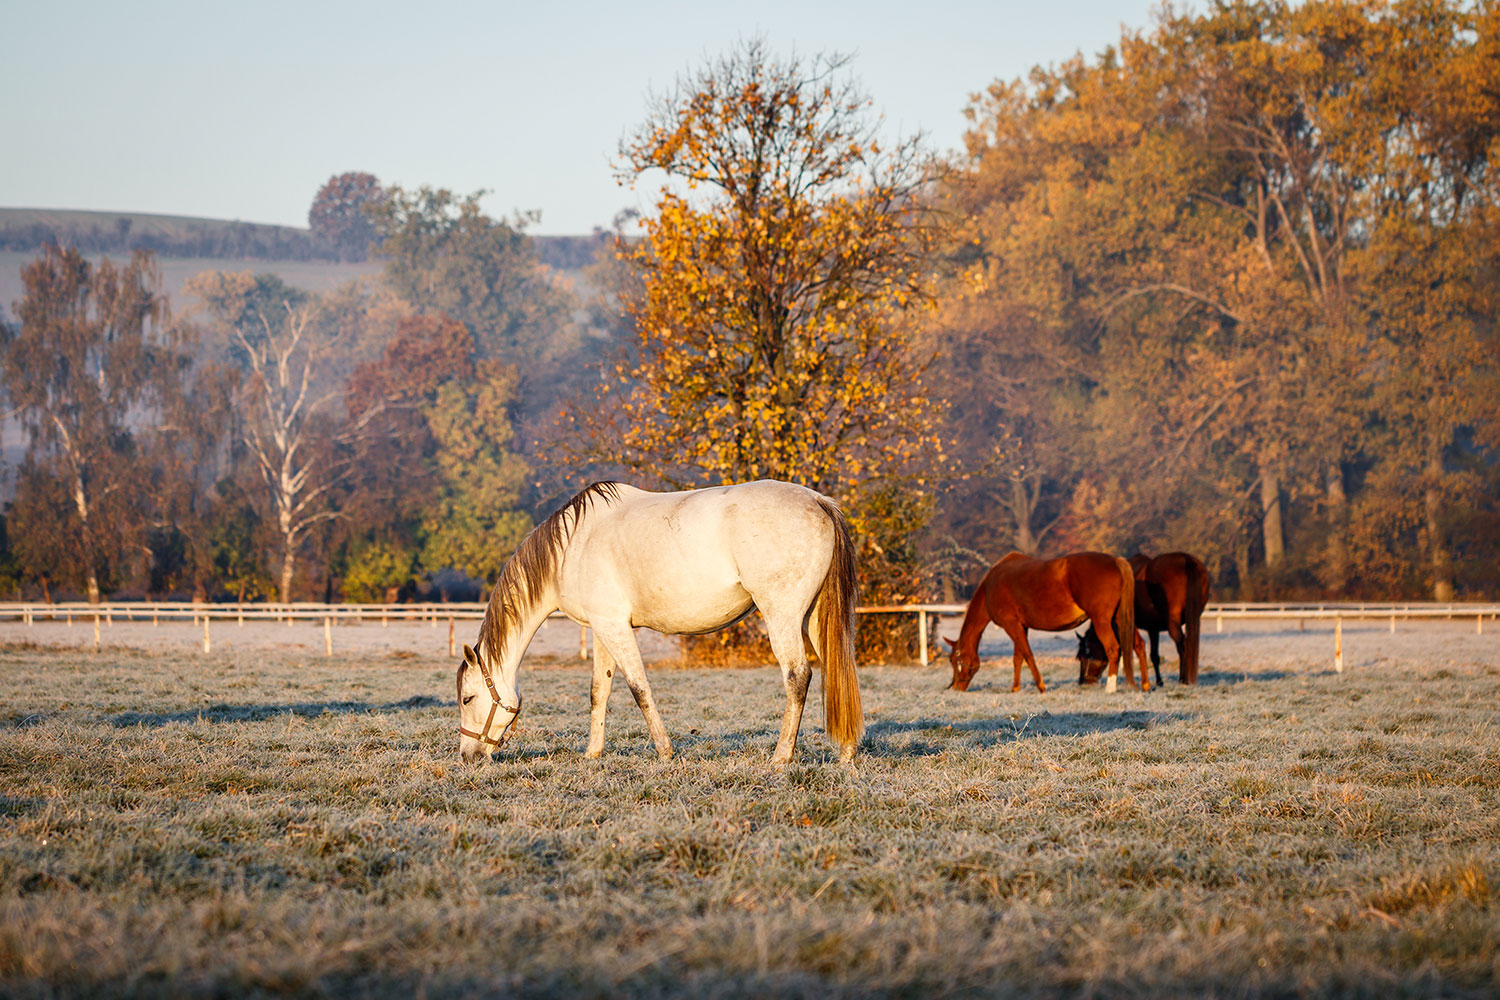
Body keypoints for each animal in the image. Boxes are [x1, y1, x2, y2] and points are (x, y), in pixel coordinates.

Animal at [456, 480, 863, 765]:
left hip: (781, 615)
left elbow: (639, 688)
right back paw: (846, 753)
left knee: (798, 676)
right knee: (837, 670)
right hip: (812, 616)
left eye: (467, 698)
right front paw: (592, 754)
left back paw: (781, 758)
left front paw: (665, 751)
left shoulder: (615, 628)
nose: (468, 756)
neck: (573, 546)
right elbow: (599, 691)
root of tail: (819, 502)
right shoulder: (603, 629)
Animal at [943, 551, 1139, 694]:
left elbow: (1028, 655)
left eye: (953, 660)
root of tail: (1116, 560)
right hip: (1118, 620)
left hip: (1102, 621)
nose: (956, 687)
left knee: (1113, 649)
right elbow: (1018, 658)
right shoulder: (1021, 626)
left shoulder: (1011, 625)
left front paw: (1041, 686)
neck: (990, 587)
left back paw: (1110, 688)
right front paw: (1015, 688)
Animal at [1078, 551, 1210, 685]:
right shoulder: (1153, 629)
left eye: (1084, 655)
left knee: (1182, 646)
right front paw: (1159, 682)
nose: (1083, 681)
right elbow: (1154, 656)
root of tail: (1186, 559)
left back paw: (1183, 679)